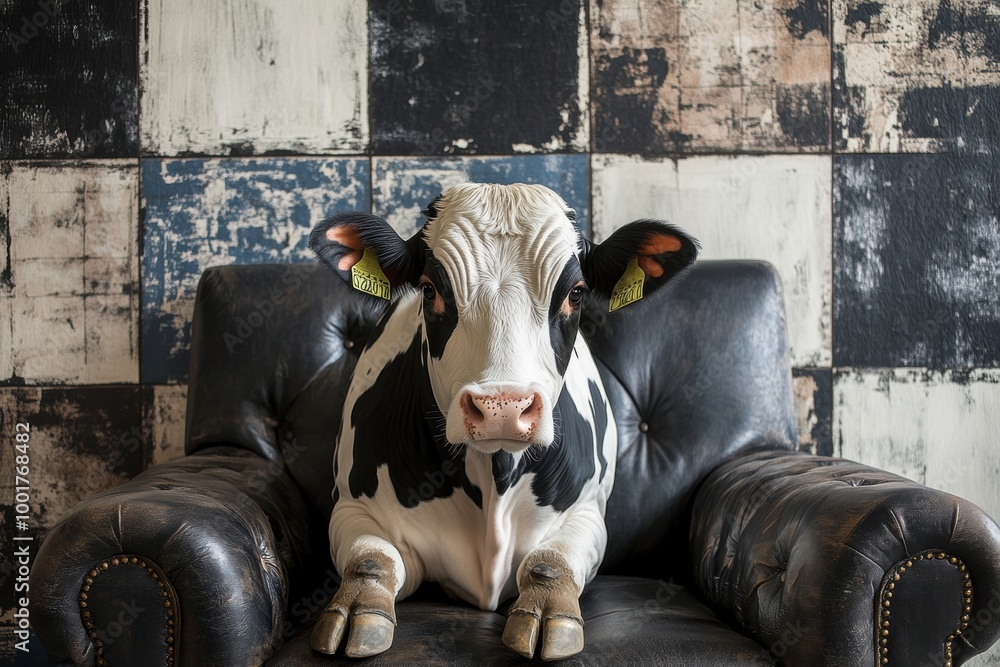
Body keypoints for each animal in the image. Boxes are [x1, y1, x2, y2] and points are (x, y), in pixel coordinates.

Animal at [308, 183, 697, 661]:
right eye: (430, 290)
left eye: (576, 293)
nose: (503, 407)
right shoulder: (351, 506)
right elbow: (371, 560)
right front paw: (356, 614)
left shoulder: (588, 515)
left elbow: (549, 564)